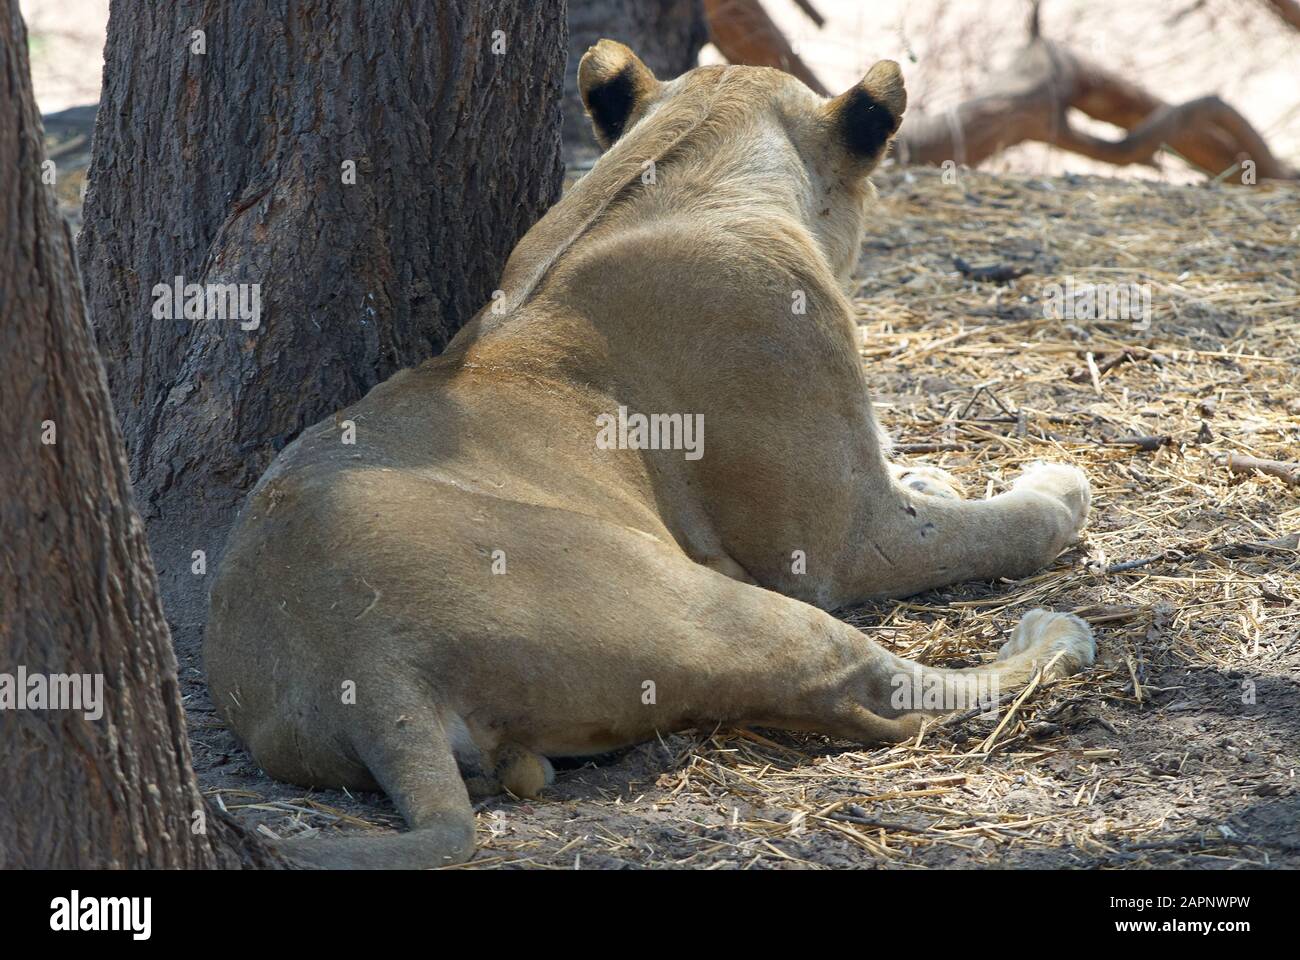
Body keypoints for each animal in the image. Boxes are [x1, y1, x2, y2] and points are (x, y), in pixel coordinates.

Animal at [205, 41, 1095, 869]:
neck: (677, 165)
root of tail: (372, 676)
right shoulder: (843, 542)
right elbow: (999, 527)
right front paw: (1057, 489)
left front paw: (932, 470)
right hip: (714, 607)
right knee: (871, 687)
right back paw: (1054, 639)